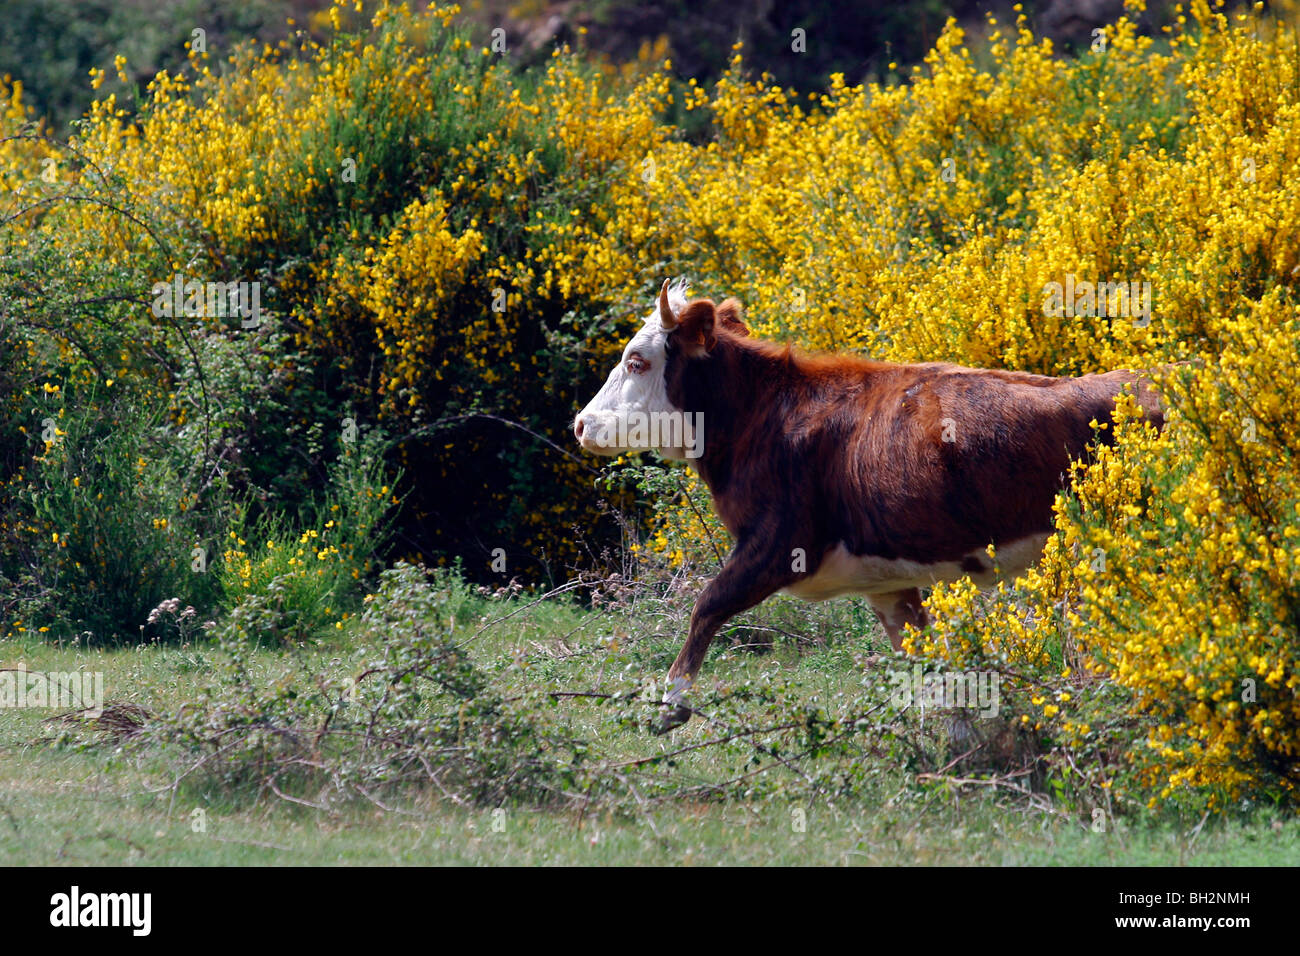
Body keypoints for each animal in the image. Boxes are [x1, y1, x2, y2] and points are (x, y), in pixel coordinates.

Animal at [573, 279, 1164, 732]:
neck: (763, 415)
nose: (581, 423)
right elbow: (928, 666)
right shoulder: (887, 584)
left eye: (637, 361)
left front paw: (670, 703)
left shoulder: (780, 544)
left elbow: (707, 604)